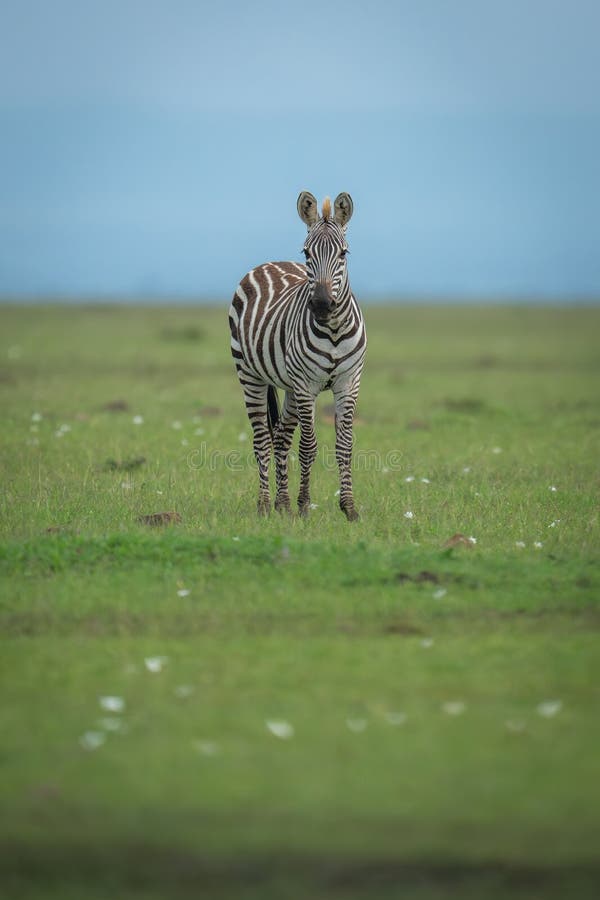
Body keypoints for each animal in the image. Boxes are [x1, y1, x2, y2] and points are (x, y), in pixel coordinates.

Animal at [229, 191, 367, 521]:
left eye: (344, 254)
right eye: (306, 254)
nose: (321, 303)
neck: (333, 330)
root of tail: (268, 263)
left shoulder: (348, 383)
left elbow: (345, 446)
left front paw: (349, 507)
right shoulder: (307, 386)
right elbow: (308, 446)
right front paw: (304, 506)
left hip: (289, 385)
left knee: (280, 436)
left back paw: (282, 504)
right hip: (249, 375)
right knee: (262, 439)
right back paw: (265, 505)